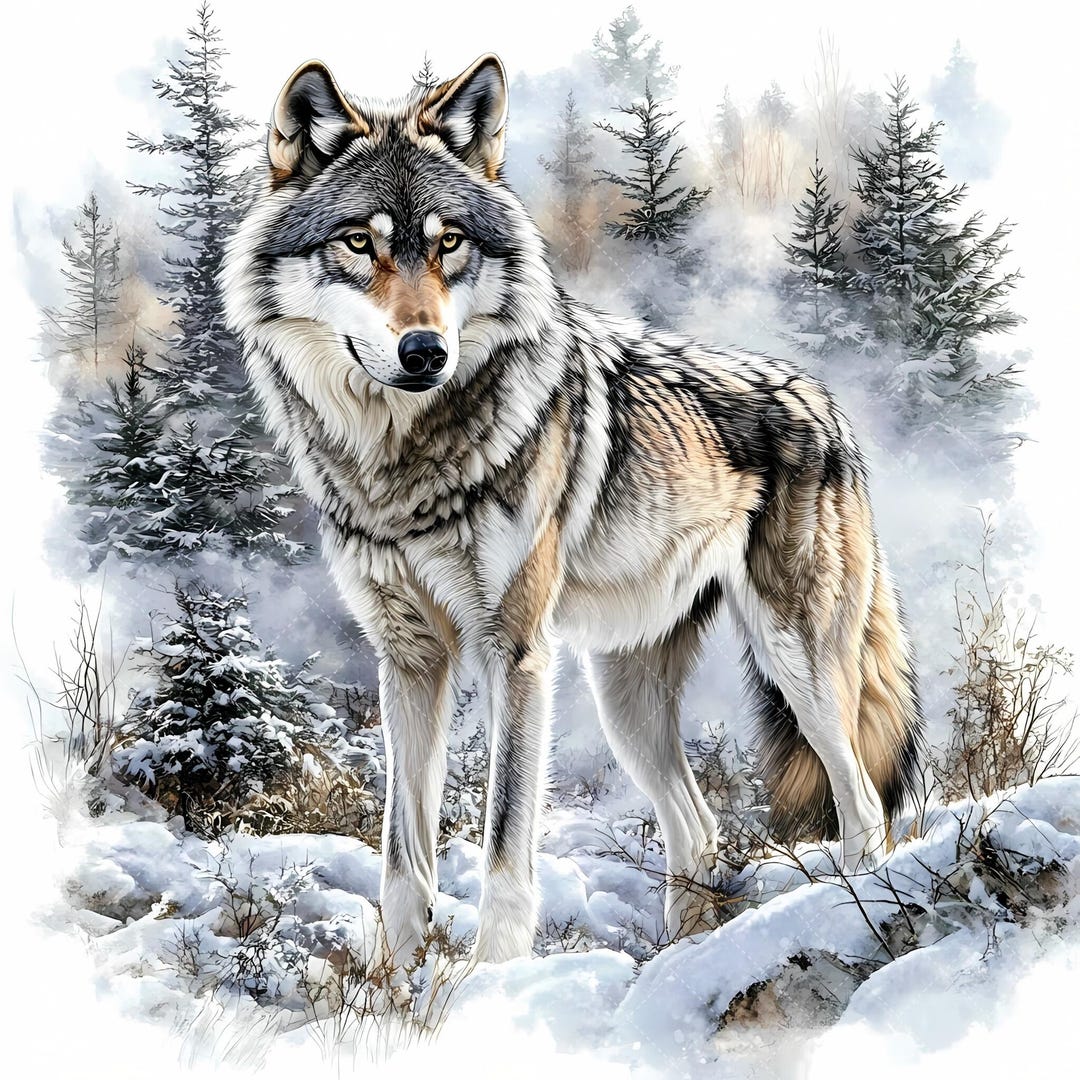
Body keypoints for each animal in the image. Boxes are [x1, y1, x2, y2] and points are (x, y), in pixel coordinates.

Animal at [223, 54, 923, 965]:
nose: (425, 351)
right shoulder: (407, 660)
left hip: (795, 664)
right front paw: (395, 981)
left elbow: (502, 842)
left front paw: (491, 976)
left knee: (863, 805)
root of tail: (829, 403)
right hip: (624, 697)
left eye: (450, 243)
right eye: (358, 242)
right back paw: (679, 960)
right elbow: (402, 856)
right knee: (698, 827)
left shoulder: (516, 652)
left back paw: (852, 912)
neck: (399, 465)